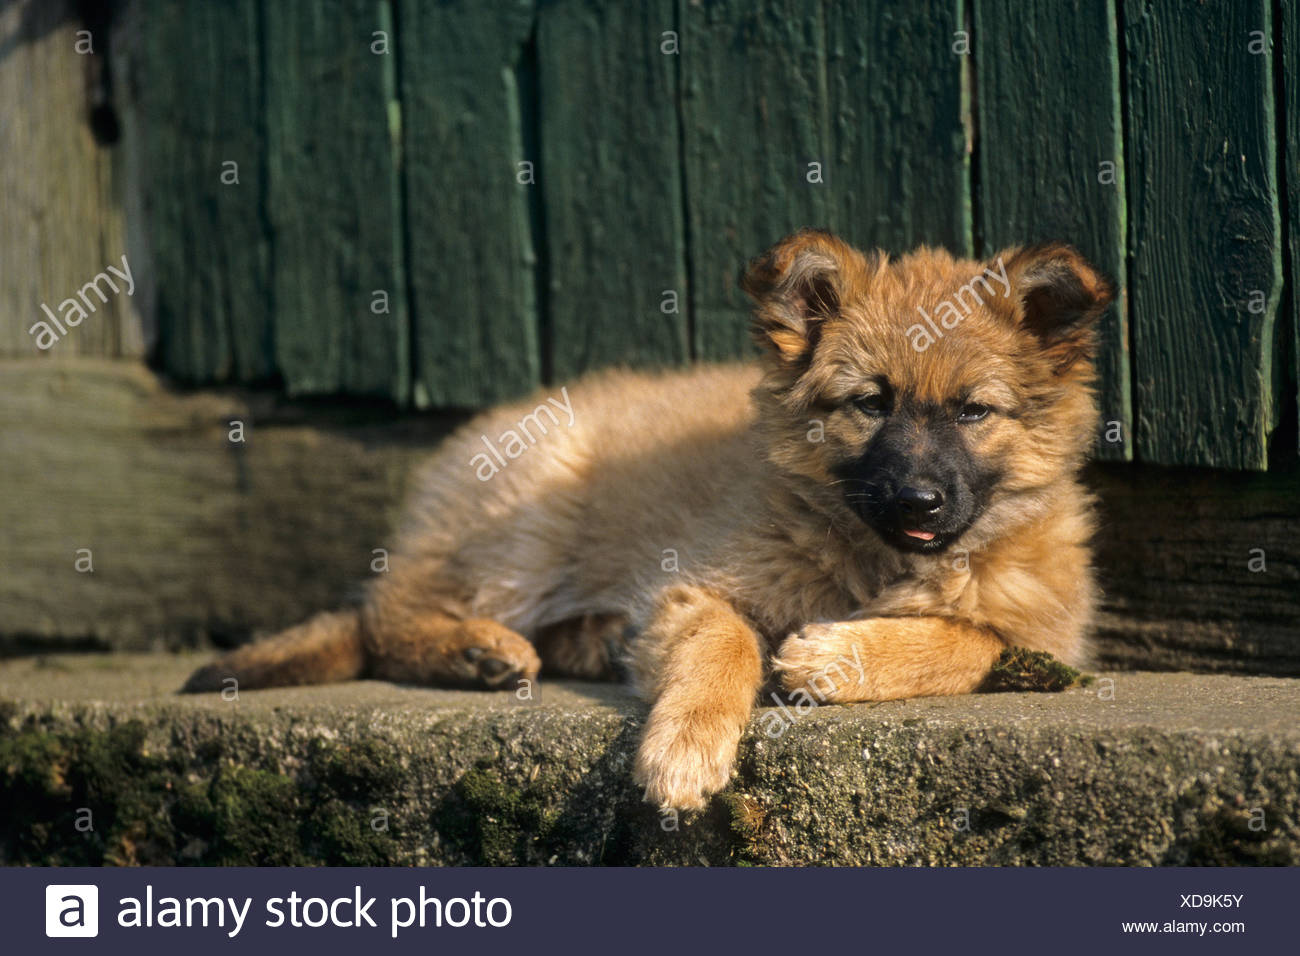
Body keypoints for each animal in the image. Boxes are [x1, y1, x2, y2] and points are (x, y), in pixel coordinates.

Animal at [184, 228, 1113, 811]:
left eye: (973, 412)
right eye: (870, 404)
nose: (919, 501)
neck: (875, 556)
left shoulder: (1047, 631)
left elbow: (972, 638)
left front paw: (836, 656)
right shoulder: (693, 587)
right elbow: (725, 646)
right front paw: (687, 747)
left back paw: (587, 640)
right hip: (536, 514)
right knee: (385, 614)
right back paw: (478, 650)